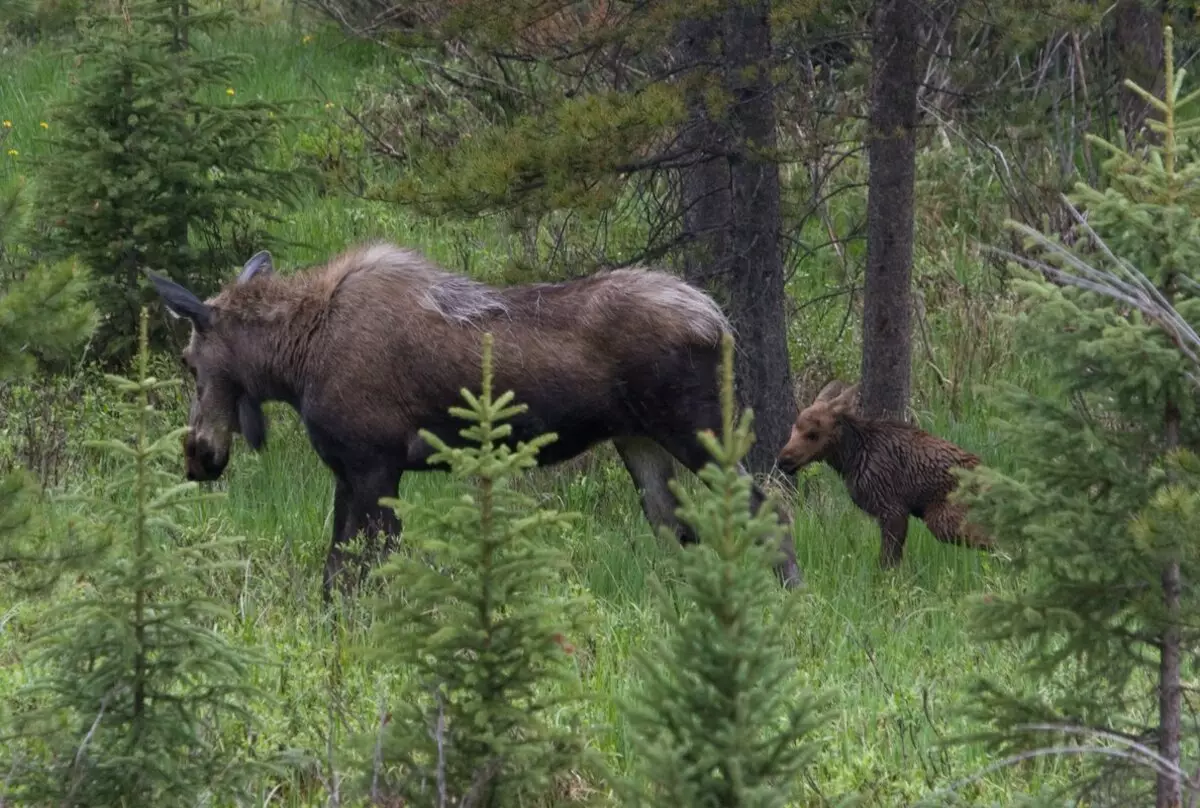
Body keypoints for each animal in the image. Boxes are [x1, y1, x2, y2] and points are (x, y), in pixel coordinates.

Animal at [150, 242, 806, 602]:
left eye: (187, 360)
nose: (198, 456)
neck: (294, 360)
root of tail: (719, 321)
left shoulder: (374, 463)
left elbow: (366, 566)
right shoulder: (348, 469)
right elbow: (337, 569)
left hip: (695, 426)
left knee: (767, 505)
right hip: (638, 437)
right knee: (674, 524)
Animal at [777, 379, 993, 564]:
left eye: (813, 434)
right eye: (793, 429)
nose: (782, 461)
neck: (850, 458)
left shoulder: (893, 509)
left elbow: (888, 561)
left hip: (943, 519)